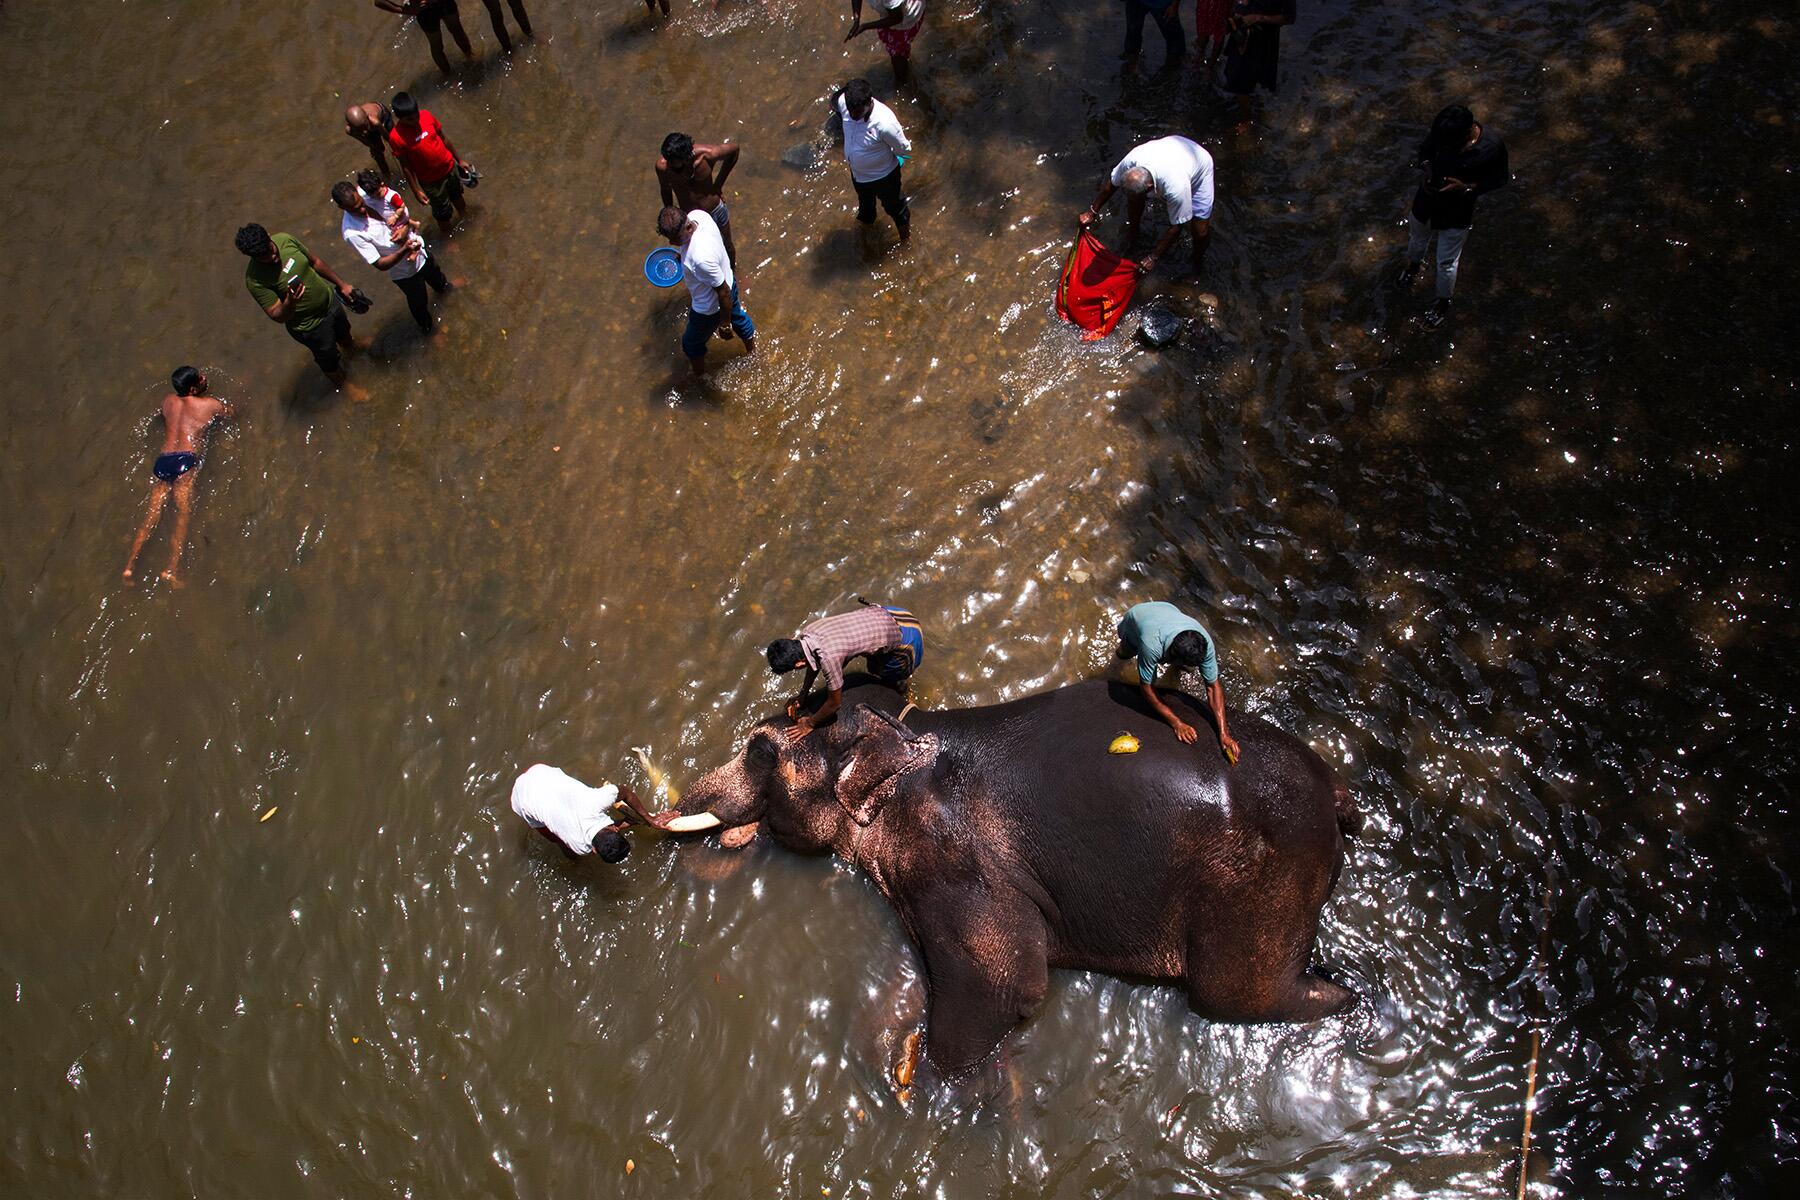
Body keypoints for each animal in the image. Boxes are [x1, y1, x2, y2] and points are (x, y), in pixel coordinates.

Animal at [667, 678, 1363, 1075]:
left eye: (759, 750)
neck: (908, 734)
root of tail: (1334, 799)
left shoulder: (957, 860)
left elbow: (1006, 985)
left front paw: (909, 1074)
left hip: (1256, 887)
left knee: (1233, 995)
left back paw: (1347, 993)